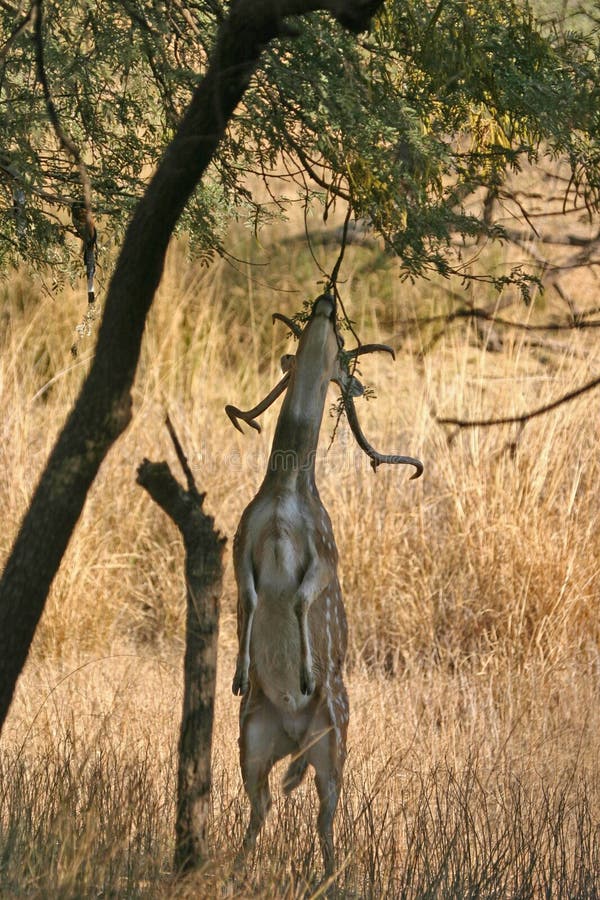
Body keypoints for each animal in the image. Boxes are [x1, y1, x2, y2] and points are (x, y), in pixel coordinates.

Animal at [226, 293, 423, 879]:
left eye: (338, 347)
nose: (325, 301)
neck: (285, 495)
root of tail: (294, 738)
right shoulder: (241, 538)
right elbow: (251, 597)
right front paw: (240, 674)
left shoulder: (327, 554)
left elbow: (301, 597)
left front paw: (309, 671)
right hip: (251, 739)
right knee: (264, 805)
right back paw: (233, 867)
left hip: (336, 745)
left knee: (324, 817)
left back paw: (330, 874)